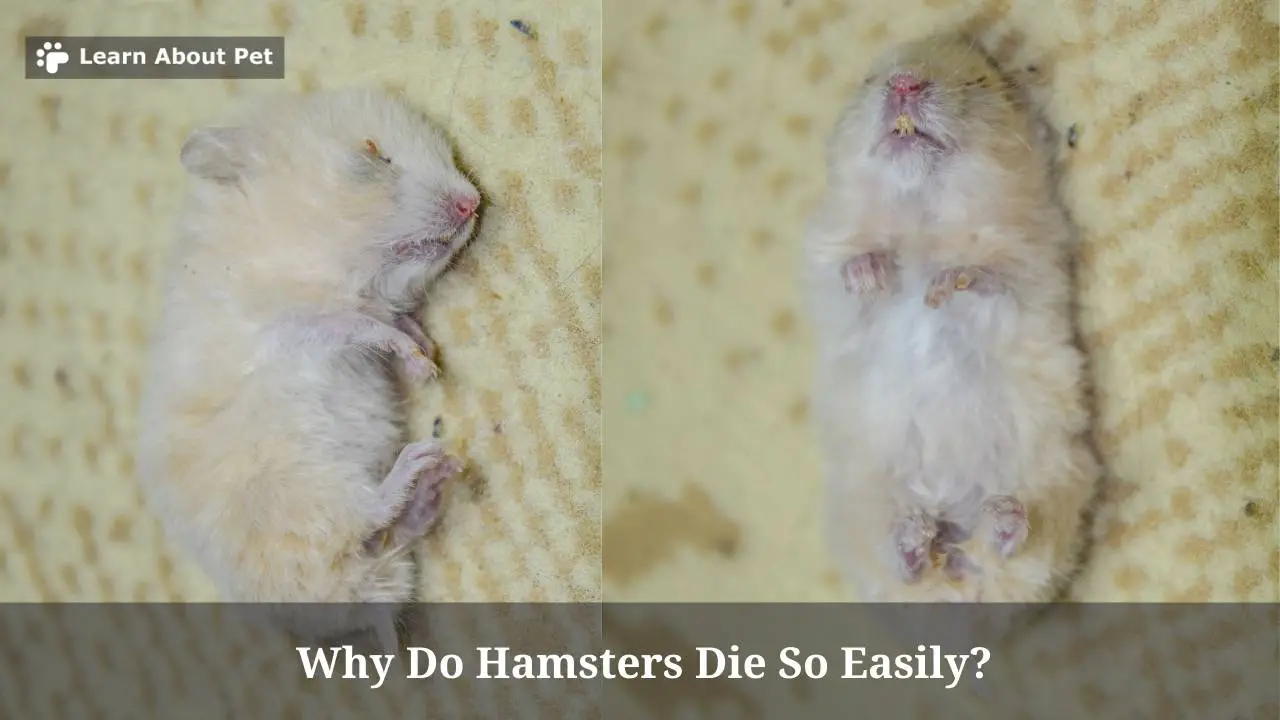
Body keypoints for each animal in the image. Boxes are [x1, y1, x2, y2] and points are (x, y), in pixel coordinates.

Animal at [135, 89, 483, 650]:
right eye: (372, 152)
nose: (472, 201)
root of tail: (362, 600)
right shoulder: (293, 327)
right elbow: (359, 326)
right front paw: (423, 364)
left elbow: (388, 324)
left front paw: (426, 355)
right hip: (314, 489)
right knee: (370, 514)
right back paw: (423, 462)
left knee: (383, 538)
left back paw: (433, 485)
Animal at [802, 35, 1100, 607]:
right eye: (871, 80)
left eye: (979, 81)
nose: (905, 82)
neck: (922, 210)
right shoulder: (827, 284)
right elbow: (853, 282)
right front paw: (875, 275)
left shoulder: (1030, 274)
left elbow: (986, 282)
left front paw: (943, 286)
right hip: (860, 514)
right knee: (904, 567)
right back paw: (917, 537)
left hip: (1060, 486)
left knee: (1014, 556)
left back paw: (1001, 519)